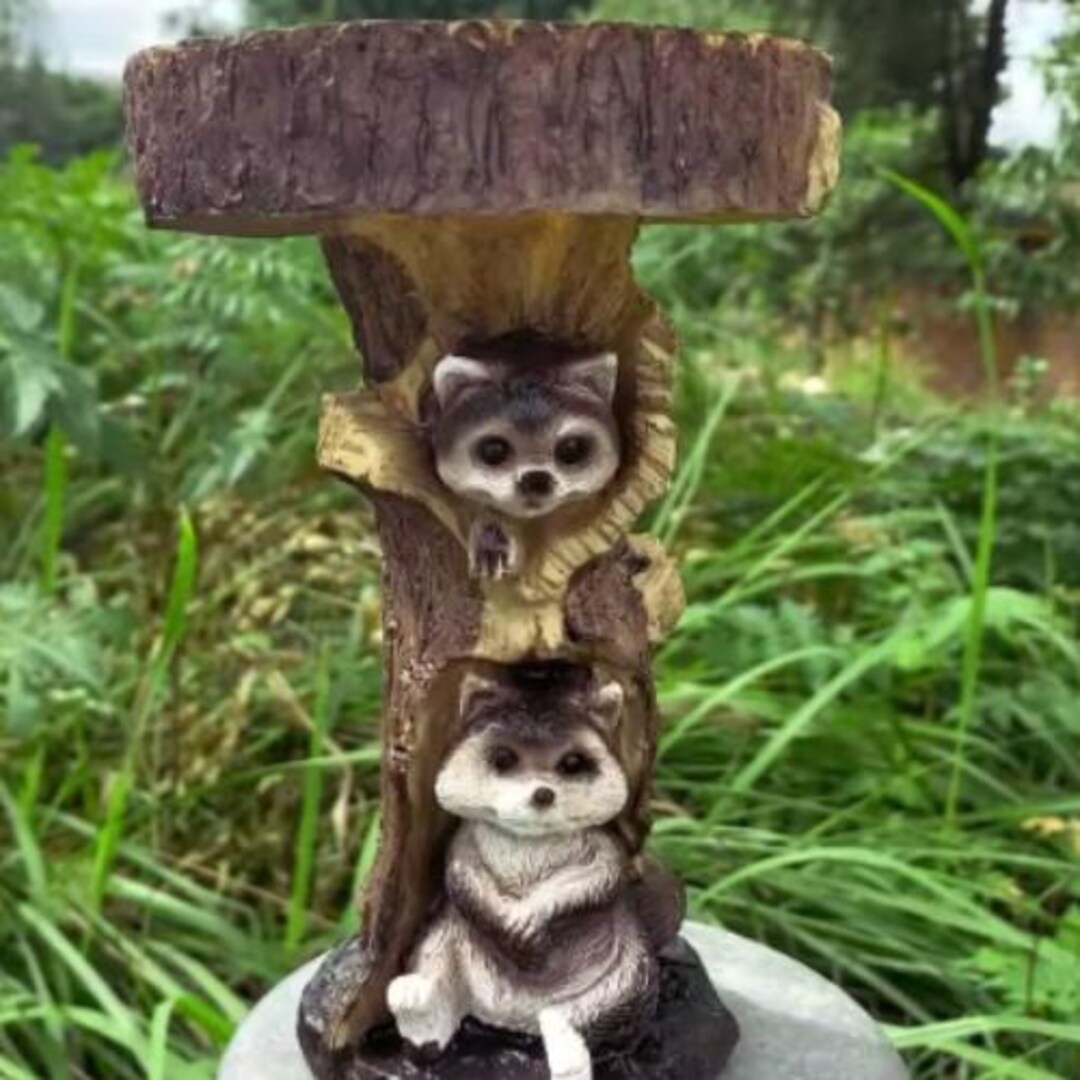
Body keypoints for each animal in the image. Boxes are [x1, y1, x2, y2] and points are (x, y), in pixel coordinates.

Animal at [386, 671, 657, 1080]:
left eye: (573, 762)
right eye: (503, 758)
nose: (542, 794)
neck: (527, 839)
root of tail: (511, 1016)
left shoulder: (602, 846)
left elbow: (599, 881)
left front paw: (534, 918)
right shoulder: (464, 840)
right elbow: (462, 878)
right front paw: (503, 918)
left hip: (627, 969)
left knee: (601, 1009)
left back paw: (568, 1052)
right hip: (452, 942)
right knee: (435, 953)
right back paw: (417, 1005)